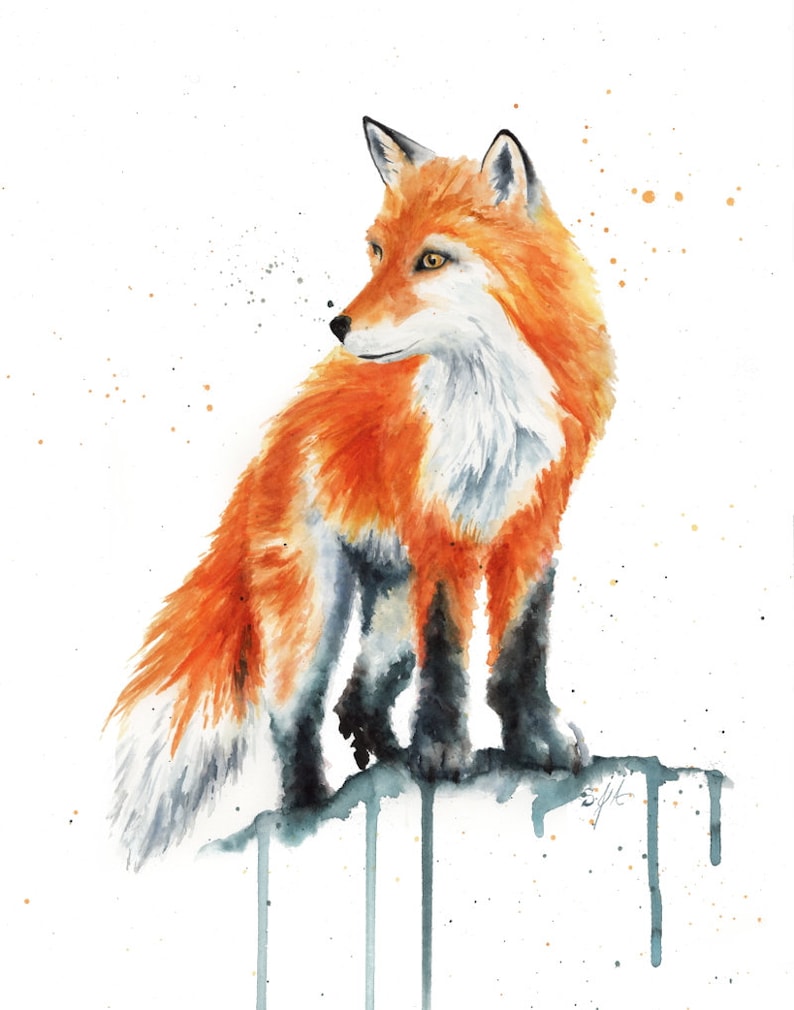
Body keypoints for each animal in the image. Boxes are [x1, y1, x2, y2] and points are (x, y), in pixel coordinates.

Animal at [107, 118, 614, 866]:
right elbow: (450, 658)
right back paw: (309, 809)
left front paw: (534, 740)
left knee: (359, 700)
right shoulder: (442, 537)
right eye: (377, 251)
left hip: (391, 611)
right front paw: (444, 750)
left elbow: (520, 651)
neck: (493, 406)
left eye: (431, 260)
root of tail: (276, 435)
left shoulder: (533, 525)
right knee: (296, 717)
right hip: (315, 616)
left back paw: (387, 760)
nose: (339, 326)